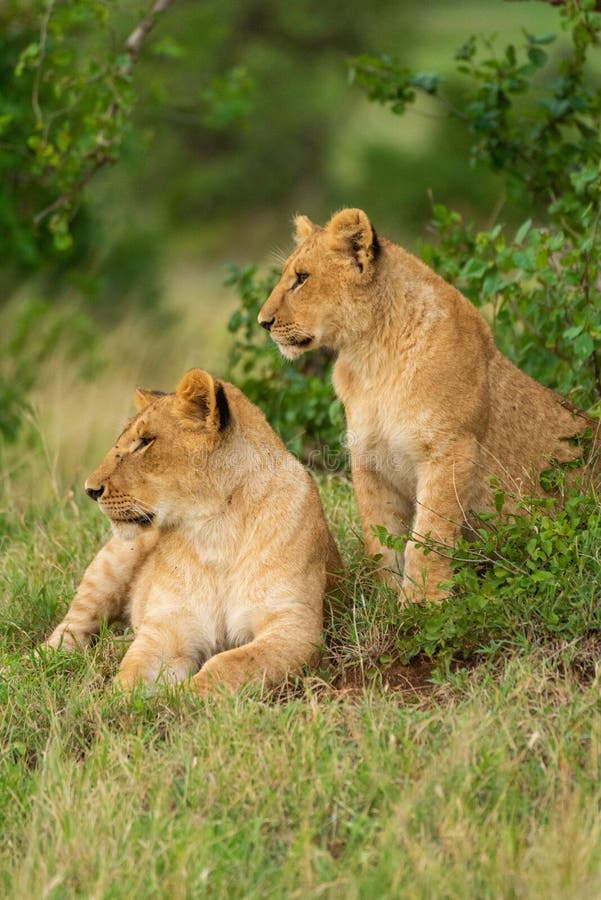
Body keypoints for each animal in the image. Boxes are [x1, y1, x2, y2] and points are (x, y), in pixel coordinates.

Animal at [44, 368, 342, 694]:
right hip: (108, 566)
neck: (215, 528)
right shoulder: (167, 627)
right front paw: (130, 700)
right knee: (71, 629)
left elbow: (228, 665)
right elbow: (130, 677)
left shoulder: (295, 627)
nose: (90, 490)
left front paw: (180, 696)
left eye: (145, 442)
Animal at [258, 208, 598, 602]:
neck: (370, 356)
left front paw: (423, 605)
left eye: (301, 278)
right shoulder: (369, 458)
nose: (263, 322)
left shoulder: (451, 450)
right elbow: (379, 538)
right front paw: (386, 601)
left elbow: (428, 538)